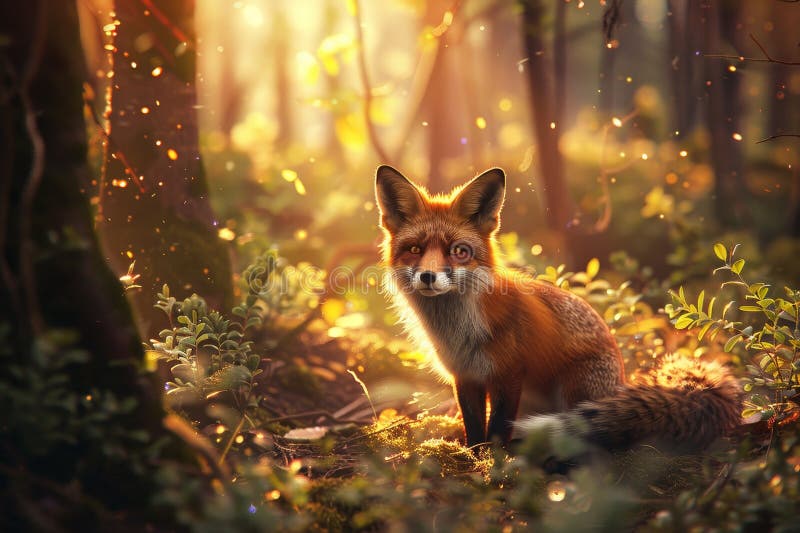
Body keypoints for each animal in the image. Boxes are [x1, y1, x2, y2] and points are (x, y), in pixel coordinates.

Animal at [374, 164, 741, 450]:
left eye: (459, 252)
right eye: (415, 249)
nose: (428, 276)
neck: (458, 330)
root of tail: (622, 380)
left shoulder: (510, 373)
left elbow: (497, 429)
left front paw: (494, 465)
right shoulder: (465, 376)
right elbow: (475, 429)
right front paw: (472, 458)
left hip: (572, 388)